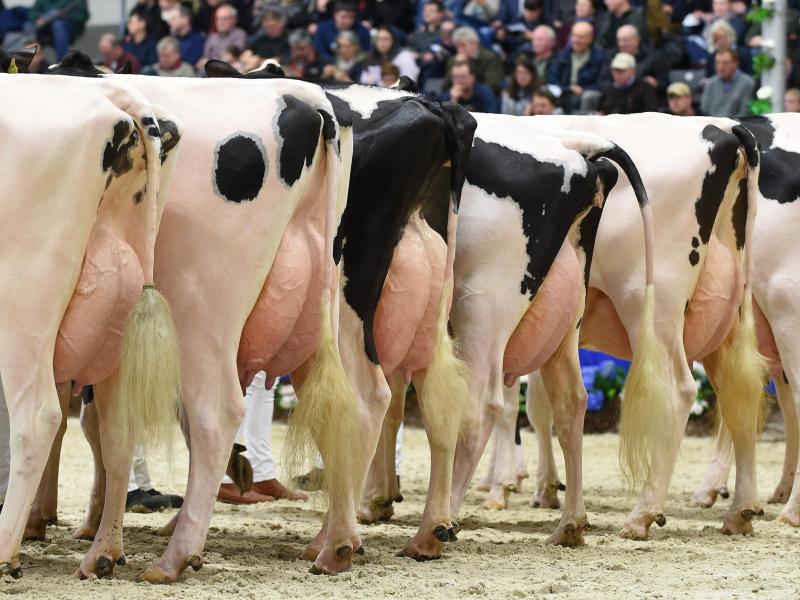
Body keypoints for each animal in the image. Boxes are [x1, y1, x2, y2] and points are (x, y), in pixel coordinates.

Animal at [0, 73, 182, 577]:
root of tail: (118, 97)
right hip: (121, 325)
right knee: (118, 432)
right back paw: (103, 553)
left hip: (24, 305)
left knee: (38, 416)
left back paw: (6, 552)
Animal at [43, 52, 360, 581]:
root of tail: (305, 98)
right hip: (319, 305)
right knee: (341, 402)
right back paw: (336, 544)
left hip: (201, 312)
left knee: (216, 413)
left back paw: (175, 555)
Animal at [498, 113, 764, 540]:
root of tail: (723, 127)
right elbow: (539, 404)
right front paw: (542, 488)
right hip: (727, 314)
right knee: (741, 391)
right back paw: (740, 510)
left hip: (650, 306)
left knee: (681, 391)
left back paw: (643, 513)